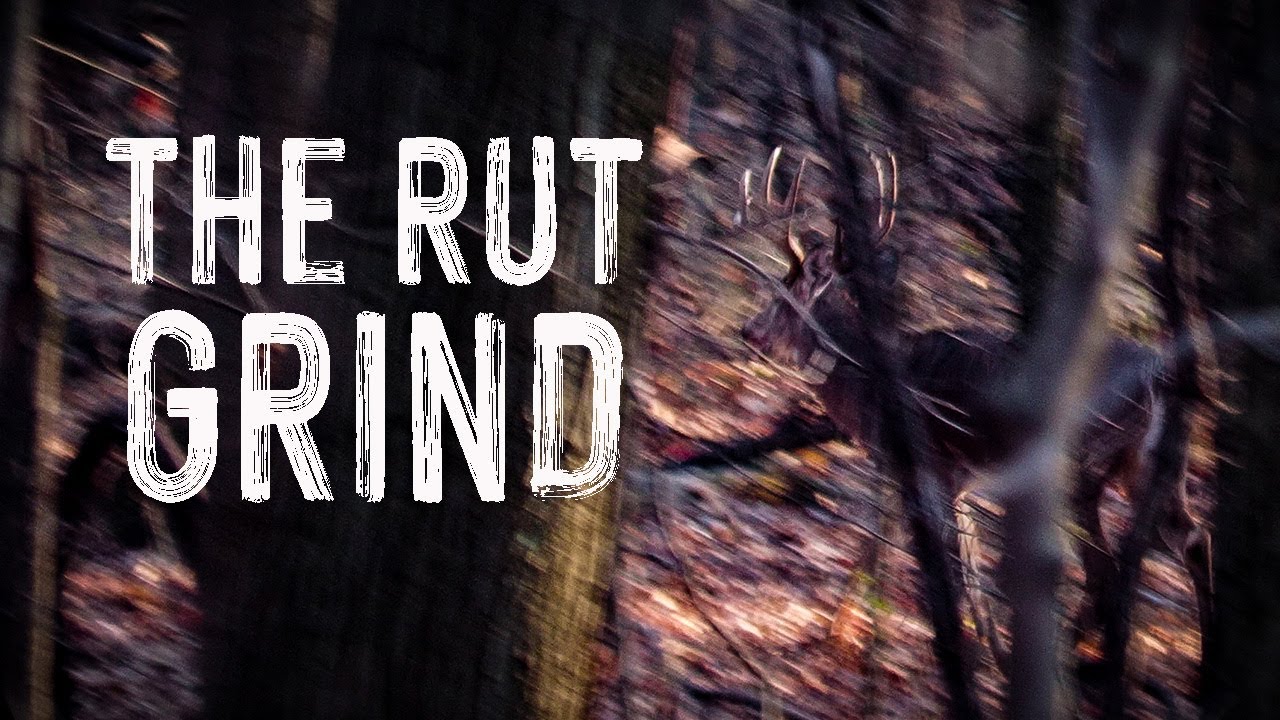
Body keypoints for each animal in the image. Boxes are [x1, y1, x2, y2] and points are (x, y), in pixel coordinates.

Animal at [732, 147, 1213, 671]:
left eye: (782, 297)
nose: (748, 331)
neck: (873, 382)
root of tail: (1158, 374)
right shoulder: (958, 482)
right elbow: (968, 565)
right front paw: (986, 648)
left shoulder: (928, 463)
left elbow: (918, 558)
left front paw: (857, 640)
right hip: (1148, 464)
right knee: (1193, 539)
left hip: (1083, 458)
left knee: (1103, 566)